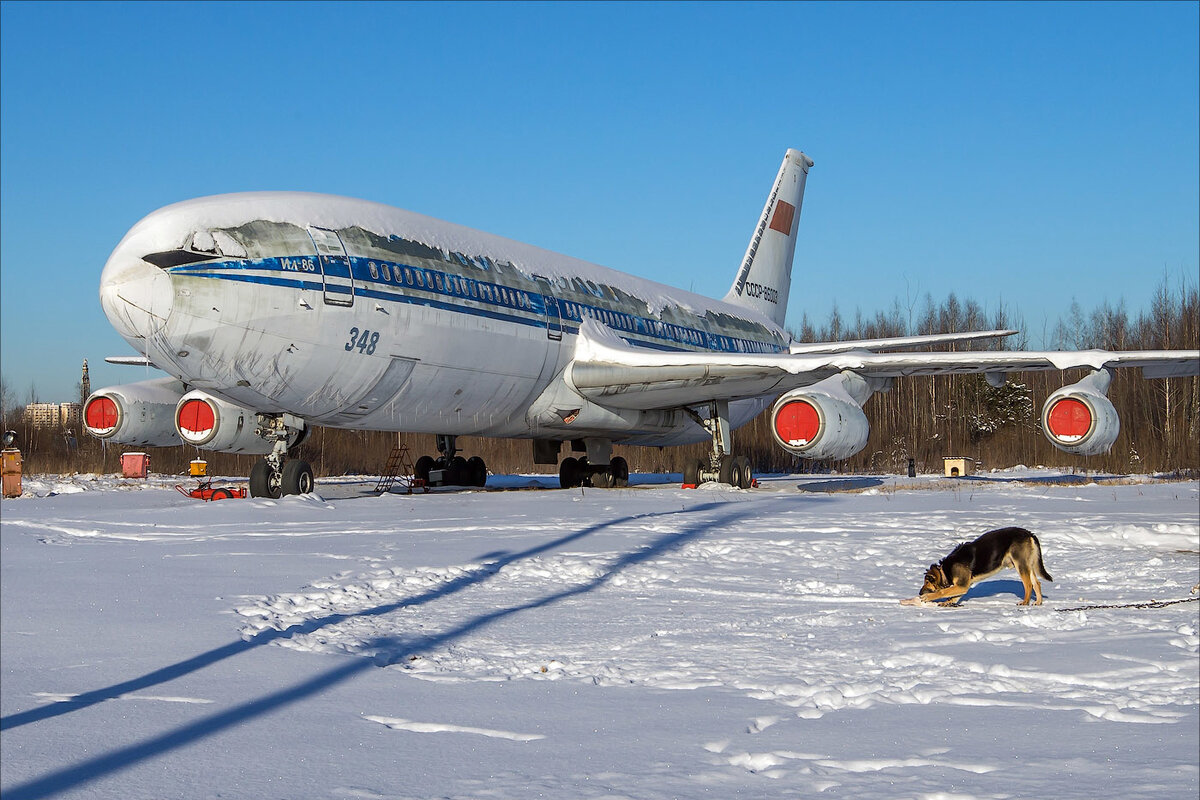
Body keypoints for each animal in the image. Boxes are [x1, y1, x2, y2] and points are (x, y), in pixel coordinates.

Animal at [902, 525, 1056, 606]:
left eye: (927, 581)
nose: (919, 593)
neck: (945, 570)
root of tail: (1029, 533)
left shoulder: (962, 584)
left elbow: (943, 591)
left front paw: (929, 597)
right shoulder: (963, 586)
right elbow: (954, 595)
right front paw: (948, 603)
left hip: (1021, 564)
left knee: (1028, 584)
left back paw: (1024, 602)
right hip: (1028, 565)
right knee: (1036, 583)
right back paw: (1038, 602)